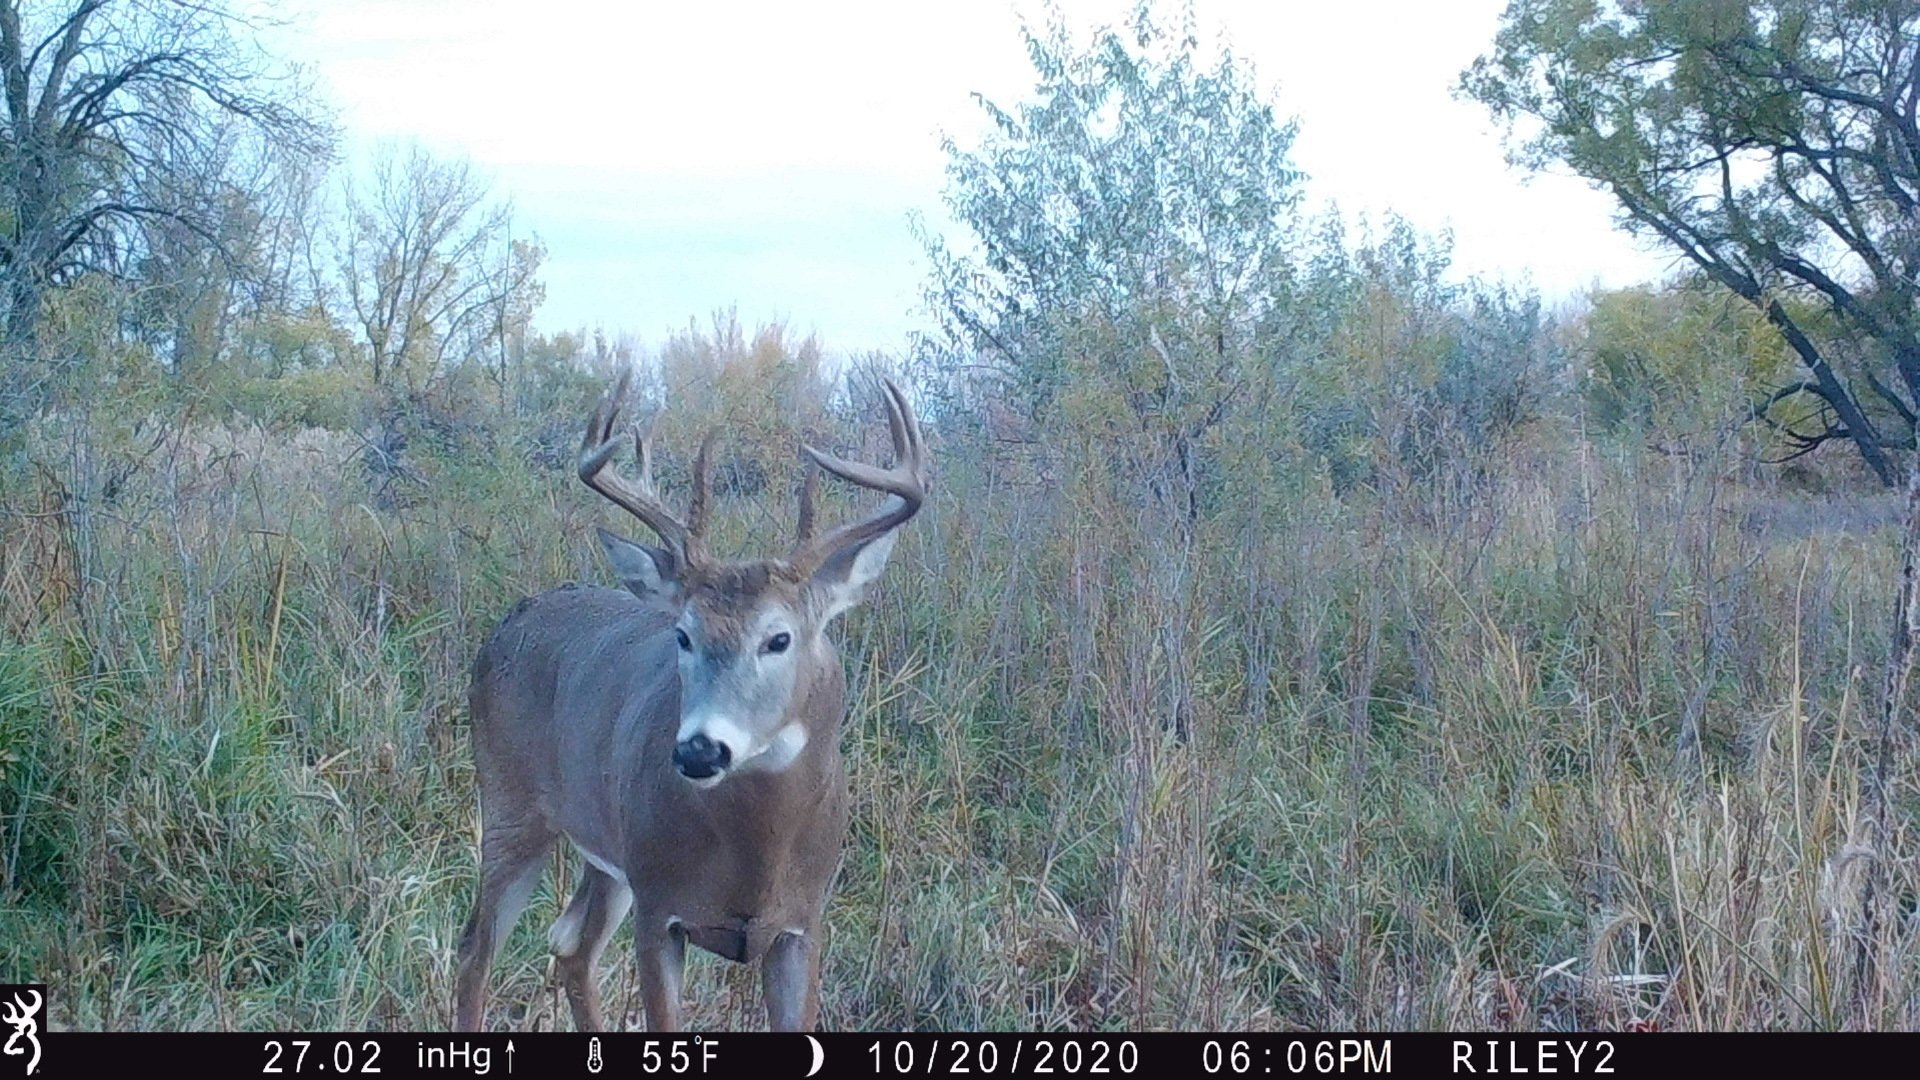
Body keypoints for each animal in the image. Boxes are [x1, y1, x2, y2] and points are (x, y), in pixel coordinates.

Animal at [453, 371, 929, 1032]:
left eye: (779, 638)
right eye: (682, 634)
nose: (701, 750)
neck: (755, 858)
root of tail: (508, 621)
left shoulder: (803, 922)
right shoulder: (660, 908)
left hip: (605, 854)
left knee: (570, 945)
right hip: (510, 804)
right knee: (476, 948)